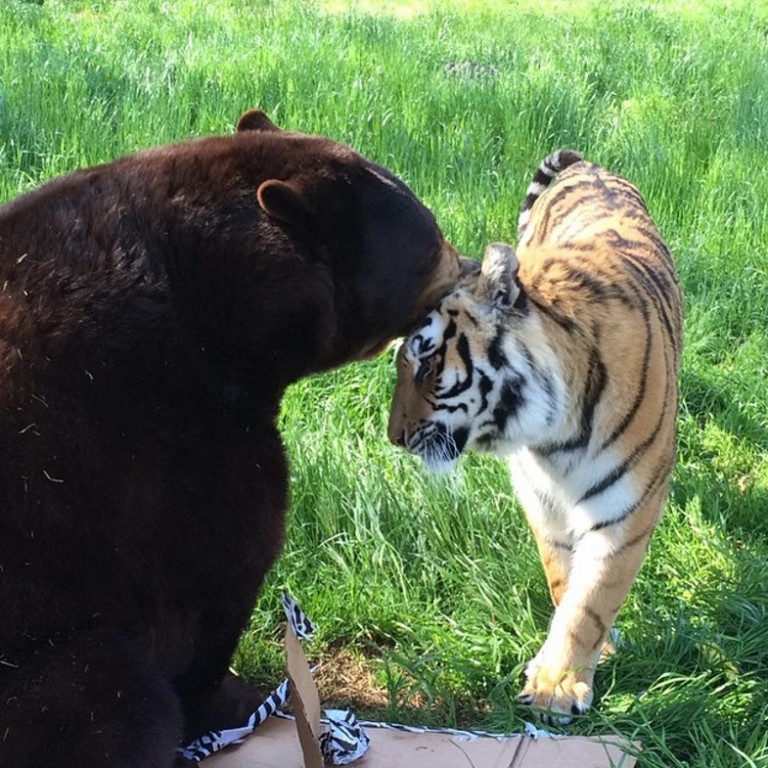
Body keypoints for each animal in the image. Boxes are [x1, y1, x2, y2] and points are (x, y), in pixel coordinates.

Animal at [0, 110, 470, 767]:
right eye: (431, 244)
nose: (478, 264)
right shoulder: (177, 427)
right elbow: (221, 563)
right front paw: (233, 698)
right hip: (55, 662)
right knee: (116, 703)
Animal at [387, 150, 683, 722]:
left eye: (428, 362)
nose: (394, 437)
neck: (553, 434)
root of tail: (587, 165)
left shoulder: (625, 511)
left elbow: (590, 601)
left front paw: (557, 686)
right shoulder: (540, 498)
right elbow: (563, 577)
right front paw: (584, 657)